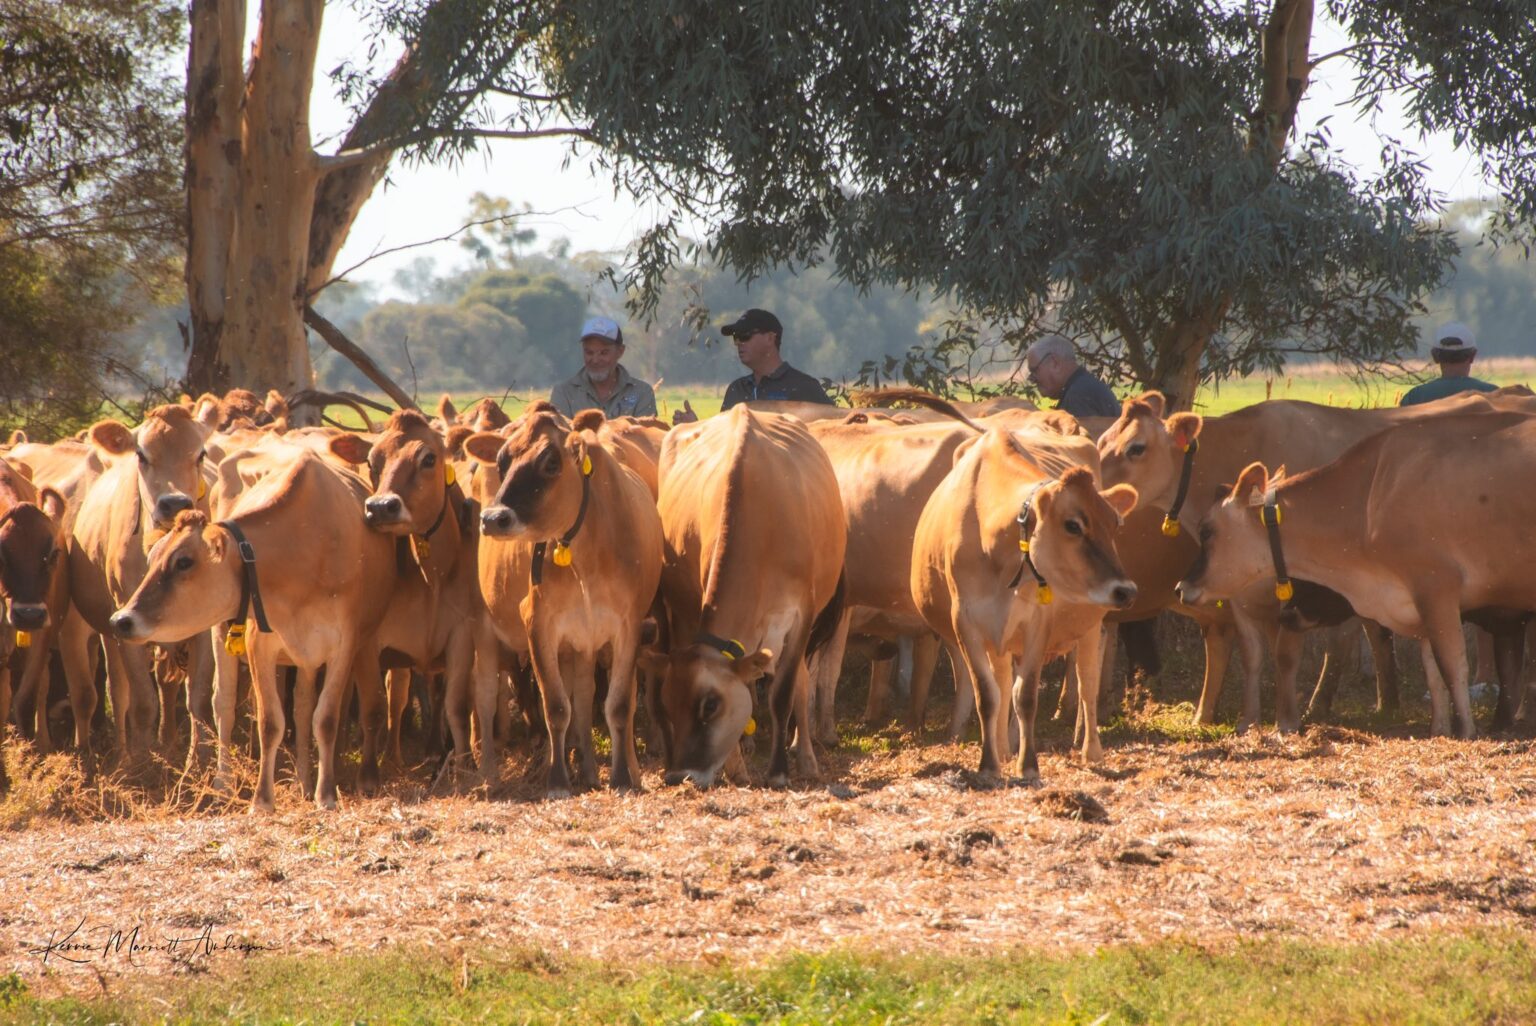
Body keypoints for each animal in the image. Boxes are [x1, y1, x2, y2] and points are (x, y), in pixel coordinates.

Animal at [109, 448, 396, 811]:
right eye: (153, 558)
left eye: (183, 561)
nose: (121, 620)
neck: (307, 550)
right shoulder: (260, 644)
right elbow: (270, 722)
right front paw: (262, 800)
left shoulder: (345, 644)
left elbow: (324, 718)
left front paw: (325, 794)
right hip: (220, 634)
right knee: (223, 705)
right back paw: (223, 784)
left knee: (303, 709)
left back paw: (303, 782)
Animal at [467, 407, 664, 795]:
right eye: (502, 460)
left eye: (551, 461)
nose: (493, 518)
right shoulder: (538, 623)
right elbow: (556, 707)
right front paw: (557, 780)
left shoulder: (627, 626)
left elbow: (617, 705)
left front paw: (622, 777)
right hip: (485, 627)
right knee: (484, 695)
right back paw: (489, 773)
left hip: (581, 644)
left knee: (585, 698)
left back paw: (587, 769)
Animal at [641, 405, 846, 789]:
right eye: (670, 703)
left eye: (710, 705)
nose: (679, 774)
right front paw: (735, 766)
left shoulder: (802, 616)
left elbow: (784, 694)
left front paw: (780, 770)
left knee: (801, 682)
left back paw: (806, 758)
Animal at [1093, 392, 1515, 732]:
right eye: (1101, 441)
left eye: (1136, 448)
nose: (1095, 494)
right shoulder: (1238, 591)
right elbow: (1252, 655)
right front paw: (1249, 720)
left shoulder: (1292, 593)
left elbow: (1285, 657)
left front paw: (1286, 719)